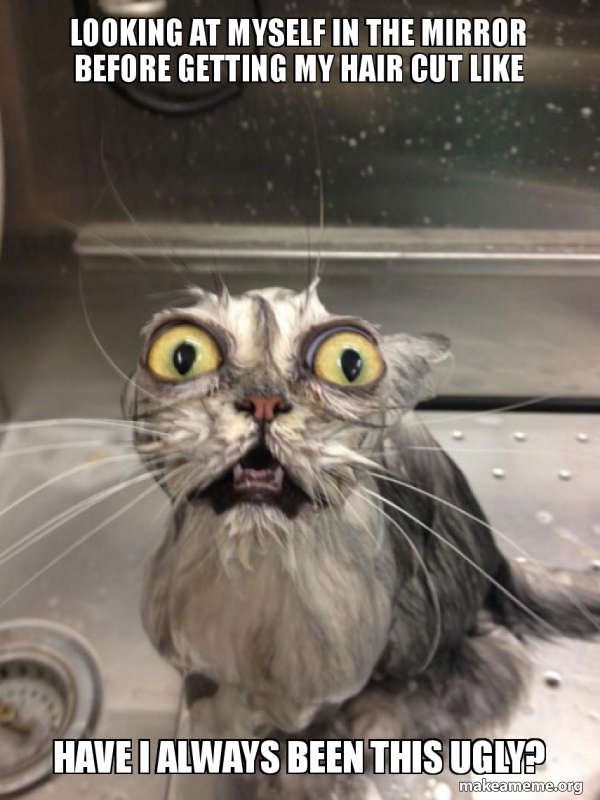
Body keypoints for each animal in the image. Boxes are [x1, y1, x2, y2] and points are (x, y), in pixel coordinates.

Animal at [124, 281, 600, 799]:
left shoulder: (336, 672)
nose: (264, 400)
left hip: (422, 613)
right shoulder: (195, 653)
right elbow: (211, 699)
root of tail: (492, 552)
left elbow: (310, 724)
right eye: (183, 355)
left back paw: (377, 718)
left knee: (485, 669)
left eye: (349, 363)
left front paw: (301, 766)